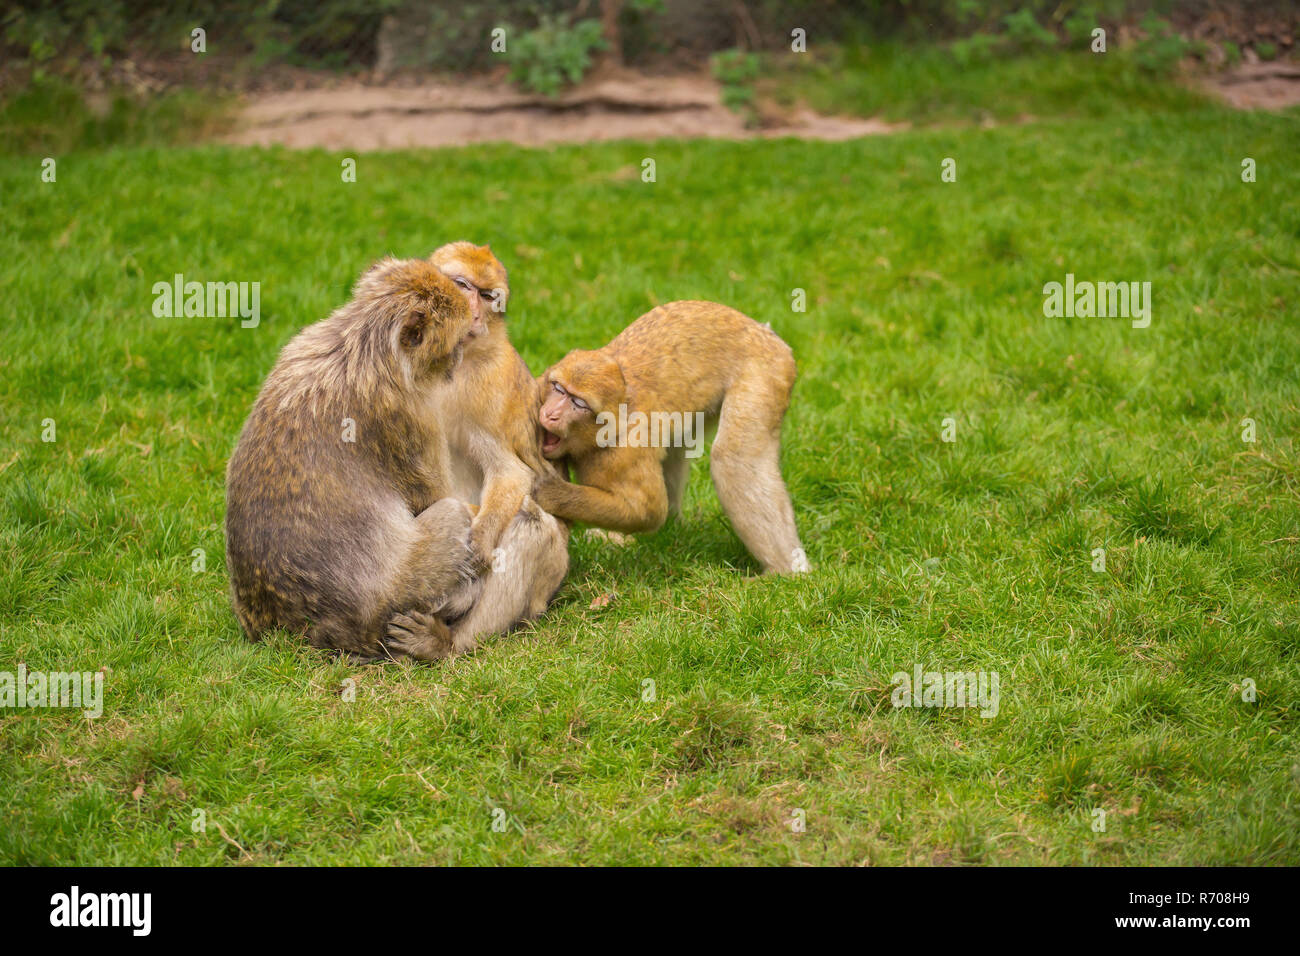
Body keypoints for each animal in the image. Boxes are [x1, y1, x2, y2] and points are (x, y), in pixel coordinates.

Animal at [533, 301, 811, 575]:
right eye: (558, 389)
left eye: (578, 403)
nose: (551, 414)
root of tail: (764, 331)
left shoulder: (621, 453)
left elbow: (647, 510)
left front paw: (553, 493)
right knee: (676, 448)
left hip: (766, 372)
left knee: (733, 461)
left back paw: (785, 570)